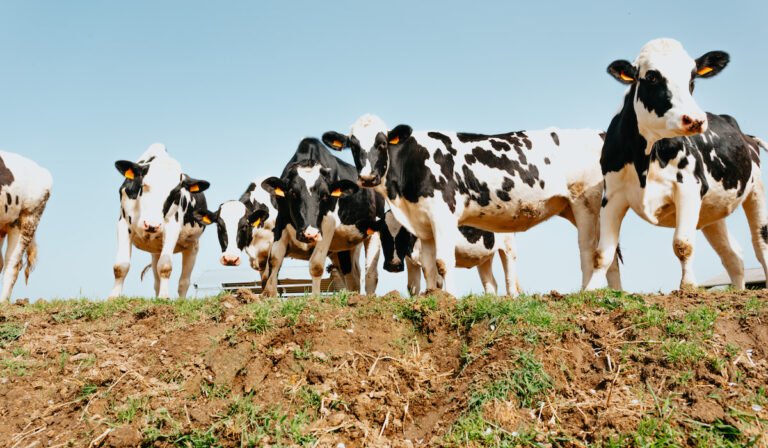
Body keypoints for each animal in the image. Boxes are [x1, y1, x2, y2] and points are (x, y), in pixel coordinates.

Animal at [110, 143, 211, 299]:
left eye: (176, 192)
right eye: (143, 184)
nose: (152, 225)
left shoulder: (172, 228)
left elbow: (165, 266)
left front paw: (164, 297)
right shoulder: (123, 223)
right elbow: (121, 265)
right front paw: (114, 297)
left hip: (192, 246)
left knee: (184, 281)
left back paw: (180, 300)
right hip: (155, 250)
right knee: (156, 281)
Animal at [261, 137, 385, 297]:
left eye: (325, 195)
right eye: (292, 193)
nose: (309, 234)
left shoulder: (327, 226)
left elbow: (316, 265)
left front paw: (315, 298)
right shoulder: (281, 220)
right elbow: (274, 260)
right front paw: (269, 296)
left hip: (374, 229)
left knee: (371, 273)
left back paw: (369, 298)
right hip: (344, 245)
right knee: (352, 276)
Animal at [378, 210, 519, 296]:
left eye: (403, 233)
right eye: (383, 233)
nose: (393, 265)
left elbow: (437, 281)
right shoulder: (410, 260)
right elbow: (412, 287)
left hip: (508, 246)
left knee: (510, 279)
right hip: (484, 256)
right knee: (490, 284)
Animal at [585, 38, 768, 291]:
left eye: (692, 79)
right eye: (652, 77)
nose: (696, 119)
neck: (644, 157)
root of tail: (746, 135)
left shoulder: (689, 188)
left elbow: (683, 244)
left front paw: (688, 287)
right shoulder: (612, 195)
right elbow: (602, 253)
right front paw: (588, 289)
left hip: (755, 190)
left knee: (761, 243)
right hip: (711, 212)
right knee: (733, 255)